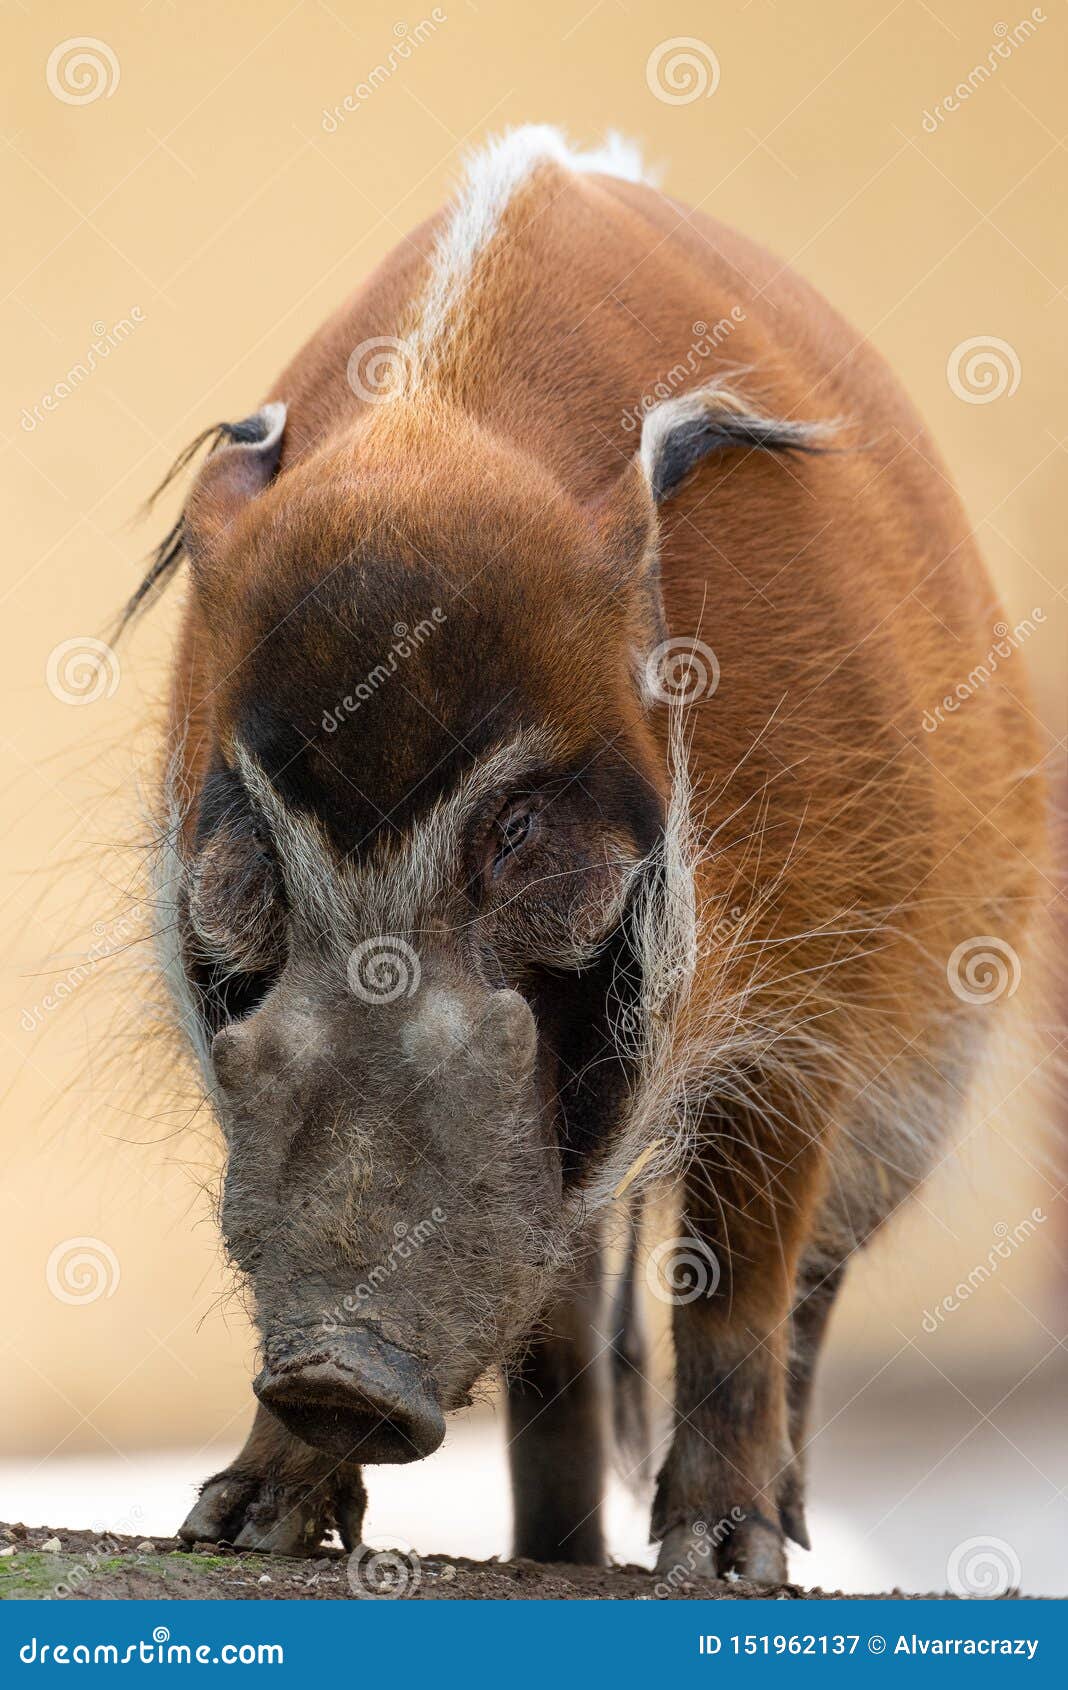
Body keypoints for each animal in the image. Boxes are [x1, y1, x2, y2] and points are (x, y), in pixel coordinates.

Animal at [132, 127, 1046, 1580]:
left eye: (515, 834)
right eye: (251, 852)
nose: (338, 1370)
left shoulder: (814, 1003)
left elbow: (739, 1270)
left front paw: (720, 1565)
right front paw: (237, 1528)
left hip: (916, 1079)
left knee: (803, 1284)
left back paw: (763, 1530)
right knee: (556, 1332)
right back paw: (551, 1554)